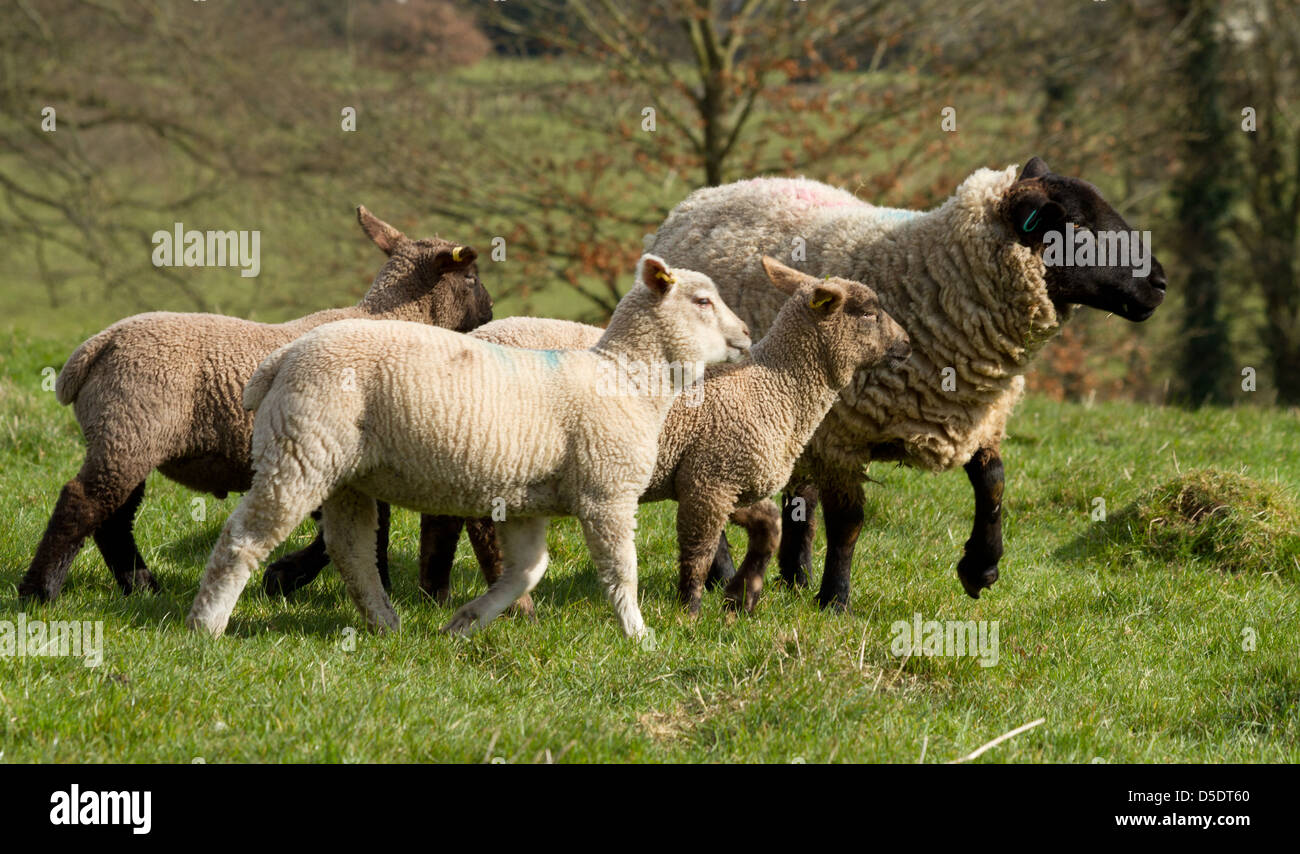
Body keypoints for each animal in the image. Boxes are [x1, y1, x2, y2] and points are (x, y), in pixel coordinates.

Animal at [18, 207, 492, 603]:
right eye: (470, 278)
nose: (489, 314)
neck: (391, 320)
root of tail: (98, 346)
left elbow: (361, 529)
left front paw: (294, 578)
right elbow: (363, 531)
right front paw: (294, 578)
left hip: (126, 433)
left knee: (114, 517)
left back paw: (142, 587)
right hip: (130, 430)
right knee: (84, 502)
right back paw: (39, 592)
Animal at [184, 255, 751, 639]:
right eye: (702, 301)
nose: (747, 333)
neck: (626, 379)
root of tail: (281, 359)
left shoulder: (526, 502)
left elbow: (527, 571)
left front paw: (465, 622)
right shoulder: (606, 492)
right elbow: (620, 571)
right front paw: (639, 635)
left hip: (341, 471)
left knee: (351, 549)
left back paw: (385, 622)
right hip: (299, 451)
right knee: (243, 539)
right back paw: (206, 624)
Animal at [417, 257, 910, 615]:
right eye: (870, 312)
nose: (907, 344)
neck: (774, 387)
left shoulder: (723, 478)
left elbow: (767, 527)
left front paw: (741, 597)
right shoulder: (711, 479)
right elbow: (698, 550)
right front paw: (690, 610)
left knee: (443, 517)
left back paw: (434, 593)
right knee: (480, 527)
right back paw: (517, 605)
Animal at [646, 157, 1168, 609]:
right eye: (1076, 225)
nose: (1159, 284)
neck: (930, 279)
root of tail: (701, 197)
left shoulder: (974, 415)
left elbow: (994, 484)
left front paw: (981, 568)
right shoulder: (844, 435)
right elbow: (849, 522)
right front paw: (836, 601)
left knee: (798, 495)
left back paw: (795, 577)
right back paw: (723, 576)